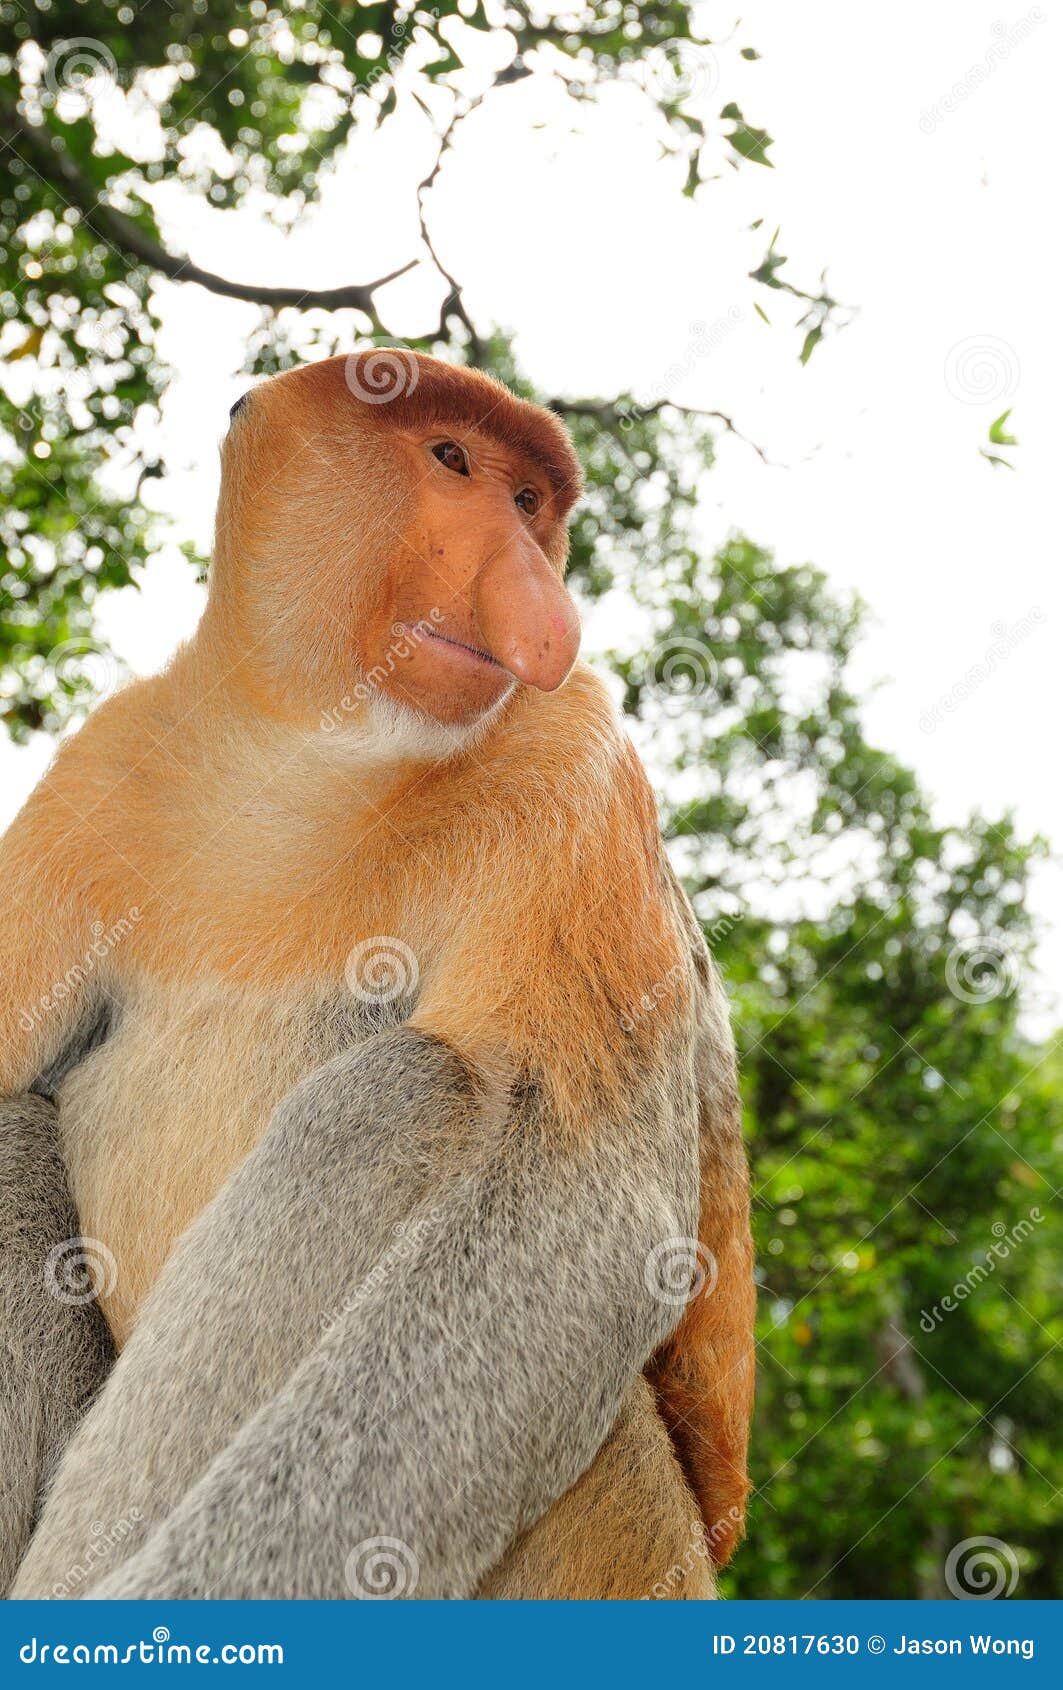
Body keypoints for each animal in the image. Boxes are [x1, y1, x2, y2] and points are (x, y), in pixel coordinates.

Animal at [0, 351, 754, 1600]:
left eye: (530, 504)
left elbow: (574, 1211)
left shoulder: (570, 765)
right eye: (451, 459)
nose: (542, 609)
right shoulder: (99, 775)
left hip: (609, 1528)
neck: (311, 746)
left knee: (405, 1095)